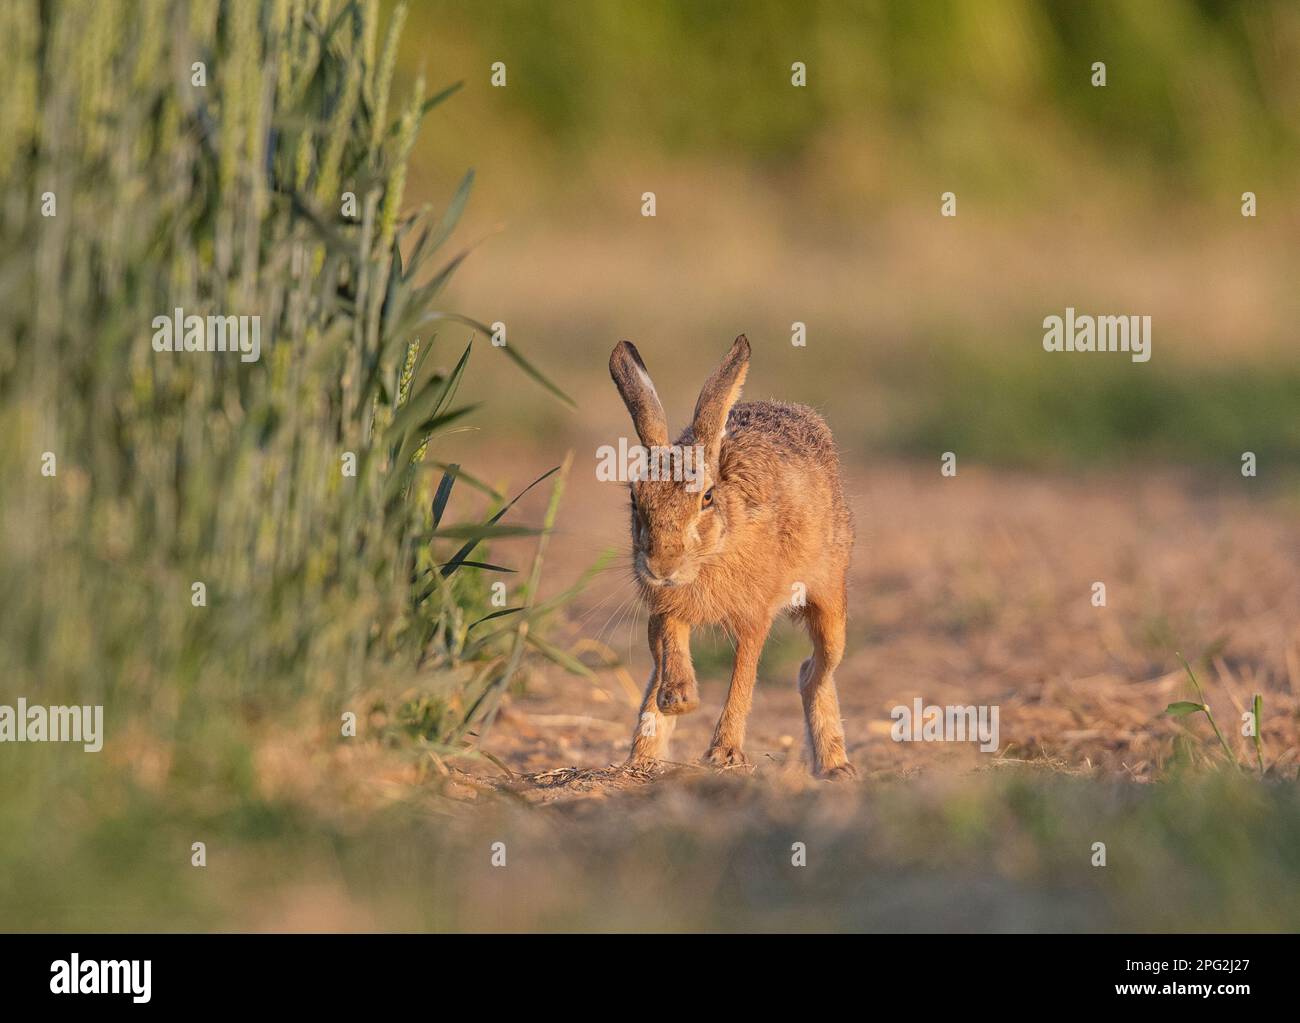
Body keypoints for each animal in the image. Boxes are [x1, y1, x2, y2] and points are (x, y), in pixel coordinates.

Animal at [608, 334, 856, 778]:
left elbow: (743, 674)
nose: (662, 565)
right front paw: (681, 698)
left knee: (814, 670)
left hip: (830, 601)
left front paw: (723, 754)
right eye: (635, 499)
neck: (710, 552)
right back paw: (642, 756)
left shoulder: (754, 616)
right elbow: (670, 643)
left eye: (707, 497)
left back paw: (835, 766)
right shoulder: (664, 608)